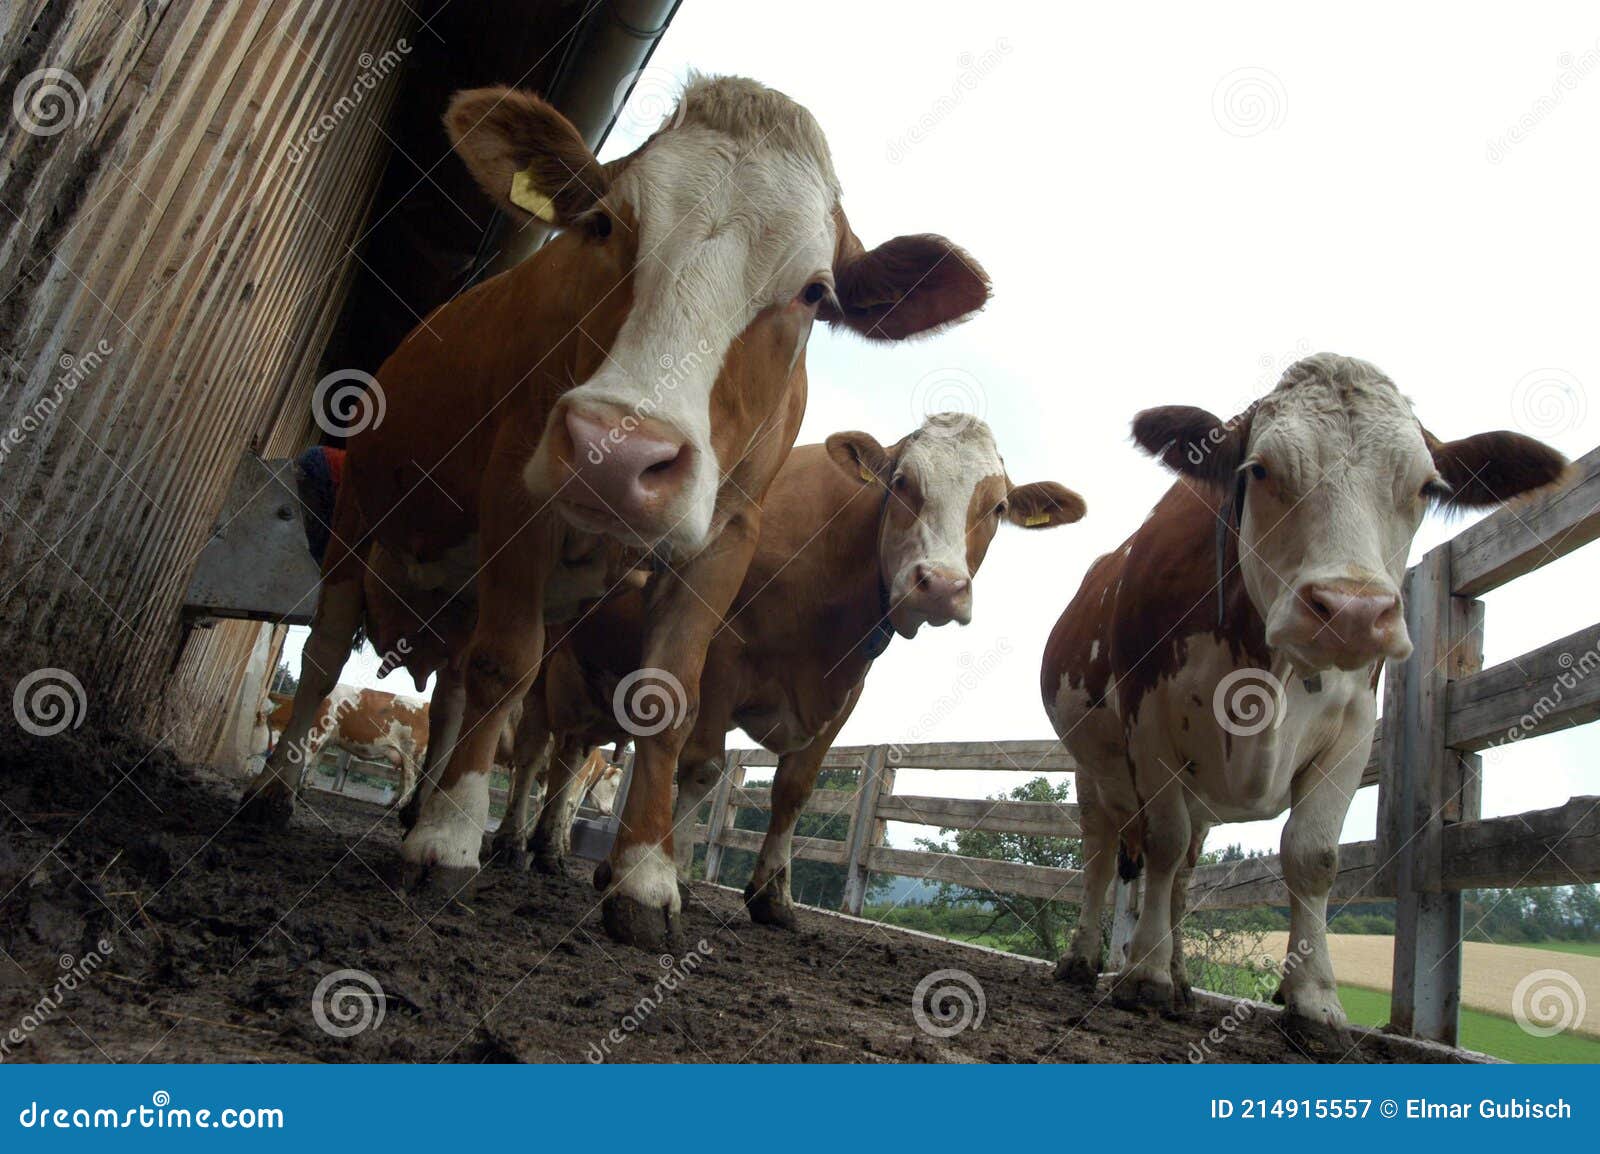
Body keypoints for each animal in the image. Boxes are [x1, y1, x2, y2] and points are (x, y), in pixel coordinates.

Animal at [240, 75, 990, 947]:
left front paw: (642, 877)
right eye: (601, 223)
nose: (618, 451)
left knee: (454, 686)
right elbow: (507, 663)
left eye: (814, 293)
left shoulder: (726, 536)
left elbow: (668, 701)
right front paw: (451, 841)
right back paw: (279, 790)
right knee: (329, 653)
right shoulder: (518, 486)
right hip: (359, 517)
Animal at [497, 413, 1085, 926]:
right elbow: (702, 767)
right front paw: (676, 873)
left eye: (998, 506)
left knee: (569, 760)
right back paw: (513, 842)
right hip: (547, 665)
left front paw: (771, 893)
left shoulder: (846, 690)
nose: (940, 585)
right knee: (536, 753)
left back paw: (550, 849)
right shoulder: (719, 657)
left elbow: (795, 789)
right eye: (901, 483)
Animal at [1041, 353, 1566, 1051]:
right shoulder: (1150, 726)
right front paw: (1144, 974)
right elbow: (1160, 843)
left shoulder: (1352, 731)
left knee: (1183, 874)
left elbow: (1311, 855)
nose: (1351, 612)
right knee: (1104, 855)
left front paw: (1313, 1001)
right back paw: (1084, 960)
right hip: (1093, 771)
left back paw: (1182, 980)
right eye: (1260, 469)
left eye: (1426, 488)